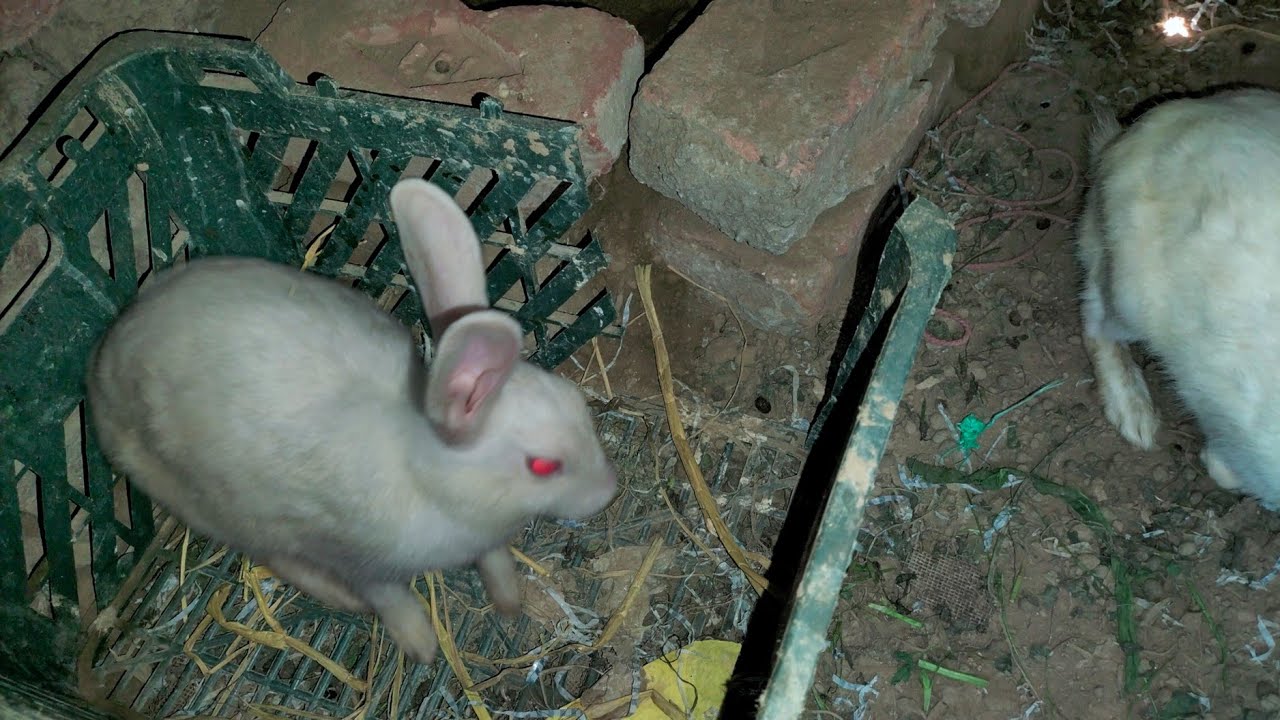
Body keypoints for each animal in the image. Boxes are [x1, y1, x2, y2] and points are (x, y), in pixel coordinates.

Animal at [84, 178, 620, 663]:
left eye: (579, 404)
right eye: (543, 466)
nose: (609, 493)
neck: (426, 476)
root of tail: (104, 364)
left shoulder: (487, 538)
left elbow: (495, 560)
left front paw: (509, 602)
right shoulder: (360, 559)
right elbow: (390, 596)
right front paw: (421, 645)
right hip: (224, 509)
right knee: (275, 555)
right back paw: (341, 598)